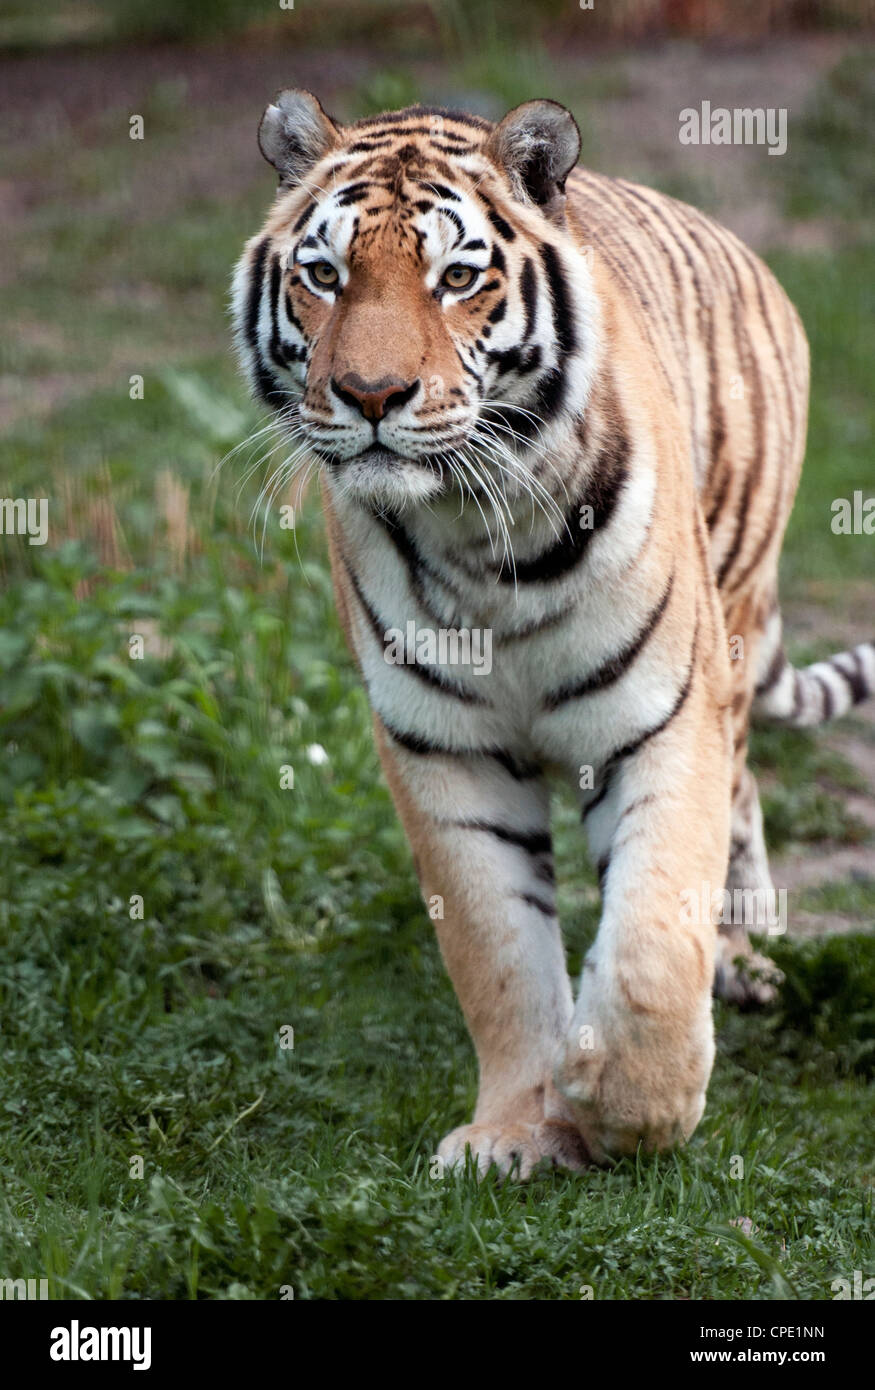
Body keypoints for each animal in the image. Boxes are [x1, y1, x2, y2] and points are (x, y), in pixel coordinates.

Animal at [232, 90, 875, 1176]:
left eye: (456, 278)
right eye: (323, 276)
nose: (370, 396)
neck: (479, 536)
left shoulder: (661, 719)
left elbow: (652, 941)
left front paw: (616, 1104)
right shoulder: (440, 747)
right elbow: (493, 947)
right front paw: (514, 1129)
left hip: (733, 616)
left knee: (739, 790)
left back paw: (741, 961)